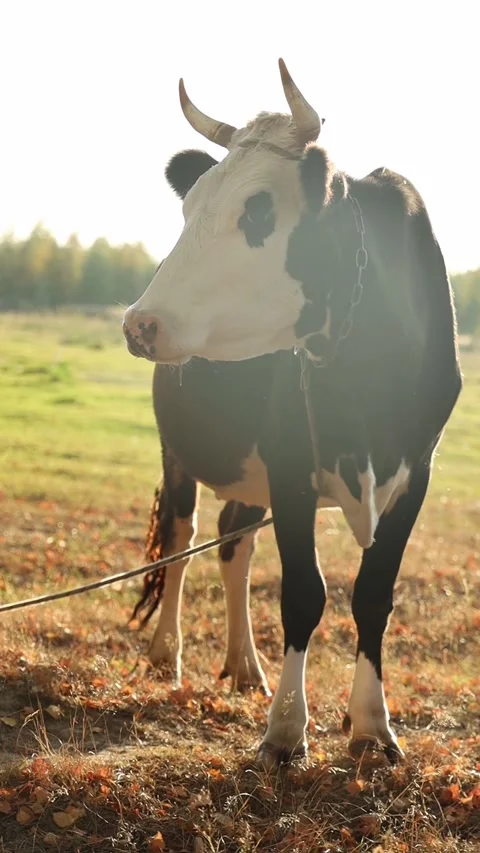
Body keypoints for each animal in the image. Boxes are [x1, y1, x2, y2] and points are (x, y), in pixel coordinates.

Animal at [123, 59, 462, 767]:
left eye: (258, 211)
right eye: (189, 207)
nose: (139, 323)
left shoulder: (418, 472)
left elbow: (373, 595)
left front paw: (371, 727)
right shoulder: (290, 464)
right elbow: (304, 592)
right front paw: (284, 733)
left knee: (234, 542)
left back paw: (243, 665)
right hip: (179, 452)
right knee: (181, 541)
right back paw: (166, 655)